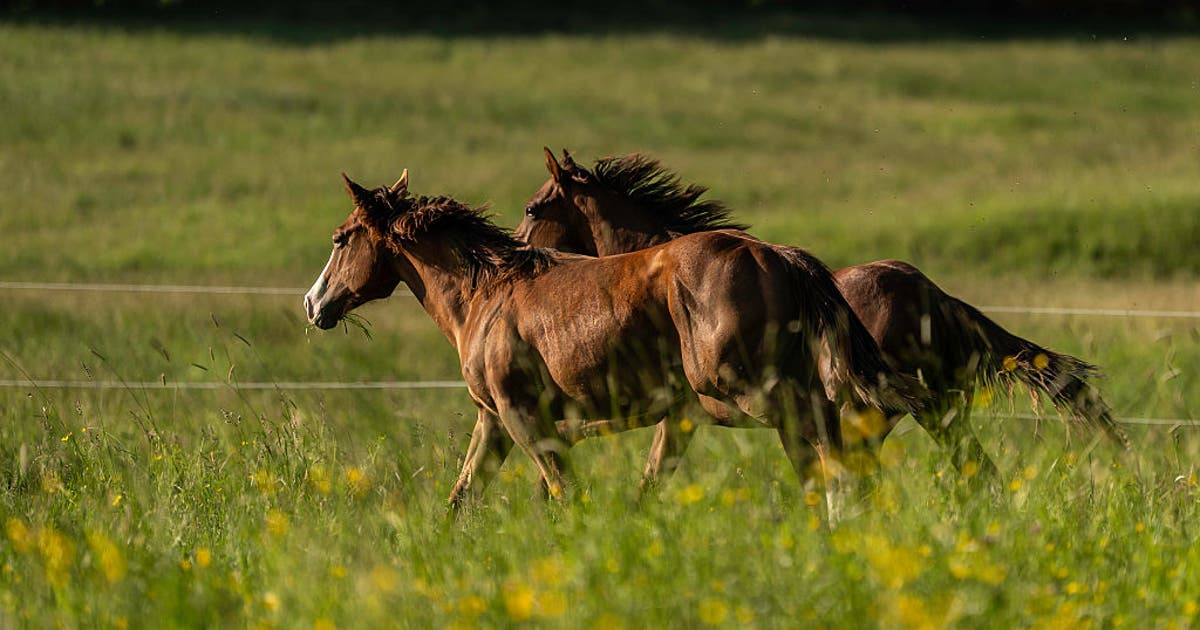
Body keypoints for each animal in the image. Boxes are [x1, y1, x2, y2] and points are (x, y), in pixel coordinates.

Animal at [303, 171, 925, 512]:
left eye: (340, 239)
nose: (313, 304)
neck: (487, 294)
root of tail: (780, 255)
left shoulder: (525, 417)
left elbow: (565, 493)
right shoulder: (495, 421)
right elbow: (463, 498)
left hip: (752, 389)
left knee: (830, 449)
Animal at [515, 149, 1130, 485]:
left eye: (532, 207)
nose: (517, 252)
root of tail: (933, 294)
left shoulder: (679, 415)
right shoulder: (682, 420)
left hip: (869, 415)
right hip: (933, 411)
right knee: (975, 468)